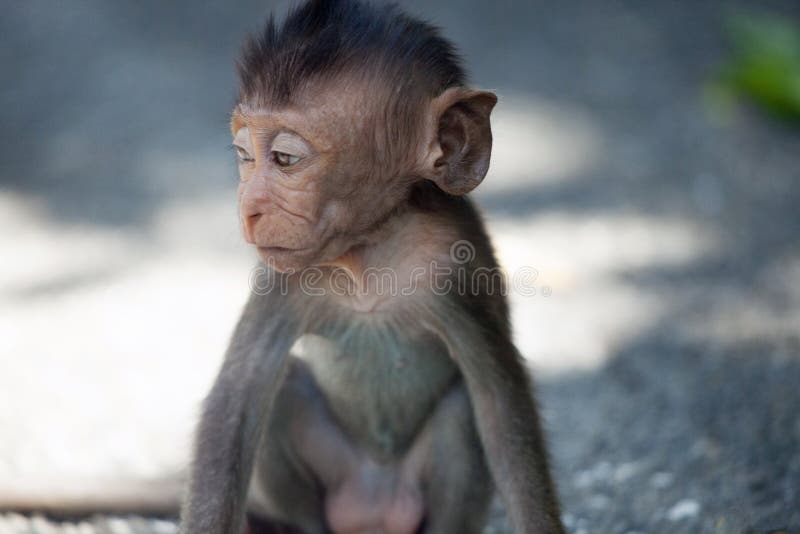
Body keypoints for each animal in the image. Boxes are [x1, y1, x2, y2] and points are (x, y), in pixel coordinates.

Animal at [180, 1, 565, 533]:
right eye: (243, 155)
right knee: (285, 390)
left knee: (462, 409)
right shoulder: (283, 277)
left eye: (284, 158)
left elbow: (500, 406)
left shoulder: (455, 263)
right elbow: (237, 399)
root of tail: (376, 508)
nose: (249, 208)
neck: (367, 253)